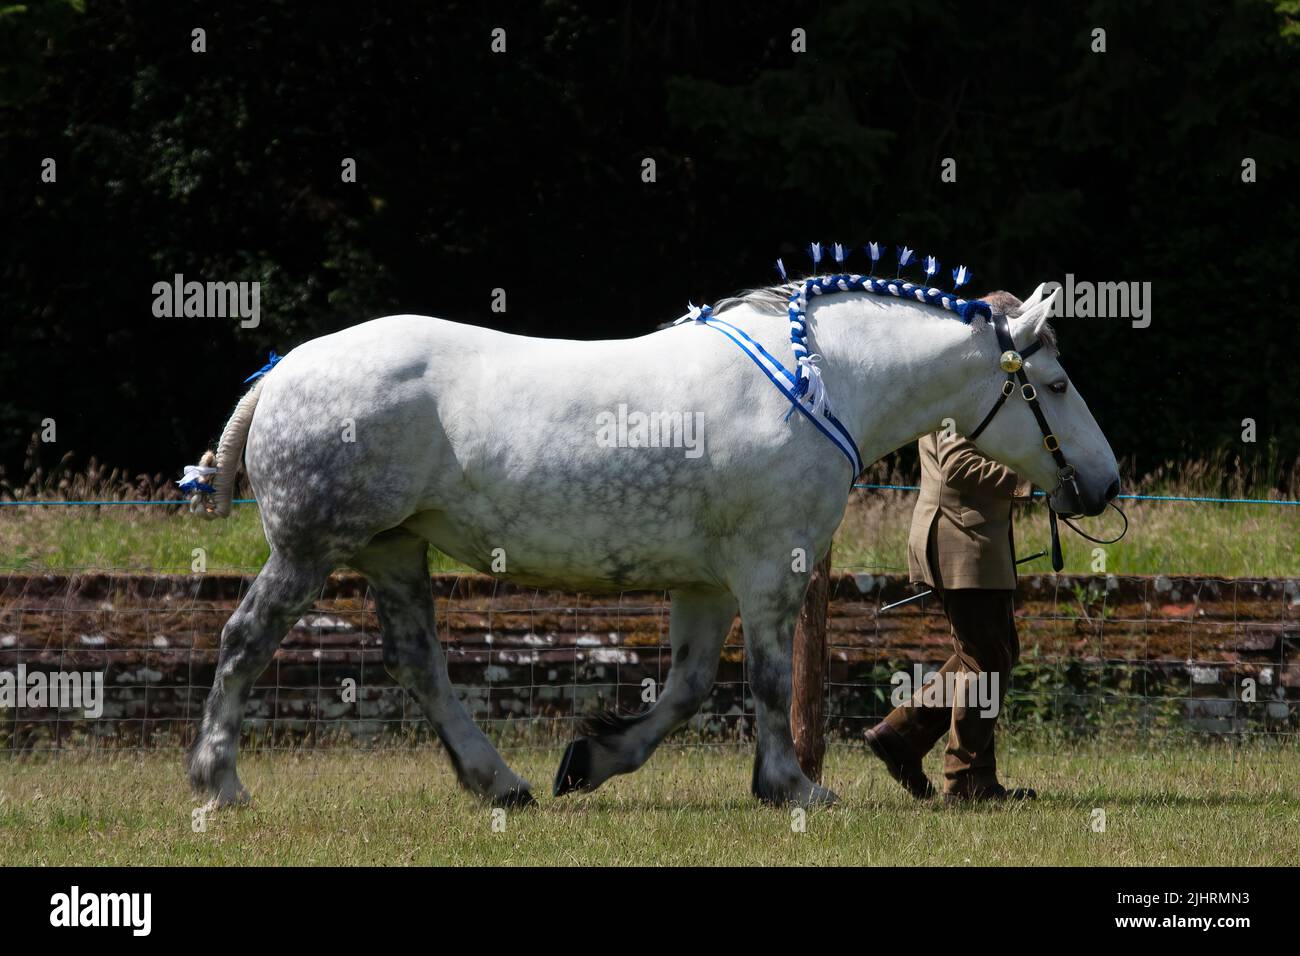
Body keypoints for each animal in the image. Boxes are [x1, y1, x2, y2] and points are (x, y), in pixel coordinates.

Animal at [183, 274, 1119, 810]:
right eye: (1053, 382)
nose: (1104, 485)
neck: (820, 385)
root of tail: (282, 372)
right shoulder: (769, 569)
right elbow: (769, 683)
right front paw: (793, 787)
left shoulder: (705, 584)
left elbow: (688, 688)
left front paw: (593, 759)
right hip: (310, 551)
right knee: (243, 642)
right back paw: (219, 782)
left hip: (392, 551)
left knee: (419, 664)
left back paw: (504, 784)